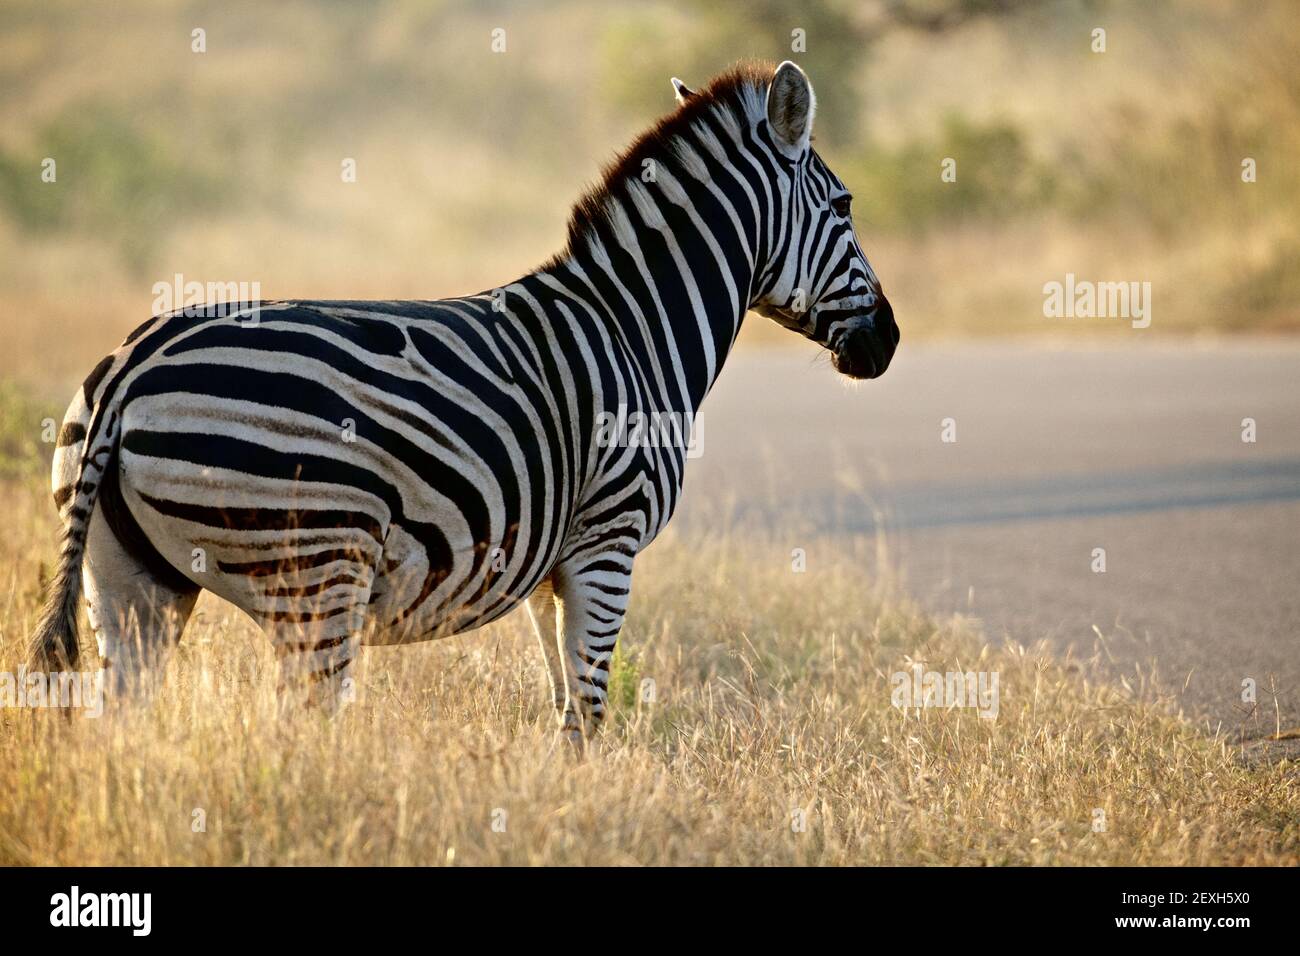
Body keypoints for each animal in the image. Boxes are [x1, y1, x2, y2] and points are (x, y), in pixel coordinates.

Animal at [30, 60, 897, 738]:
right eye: (846, 207)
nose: (887, 343)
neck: (635, 326)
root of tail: (133, 364)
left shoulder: (551, 568)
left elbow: (562, 707)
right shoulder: (608, 543)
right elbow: (590, 709)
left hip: (130, 575)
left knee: (124, 720)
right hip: (318, 567)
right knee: (299, 727)